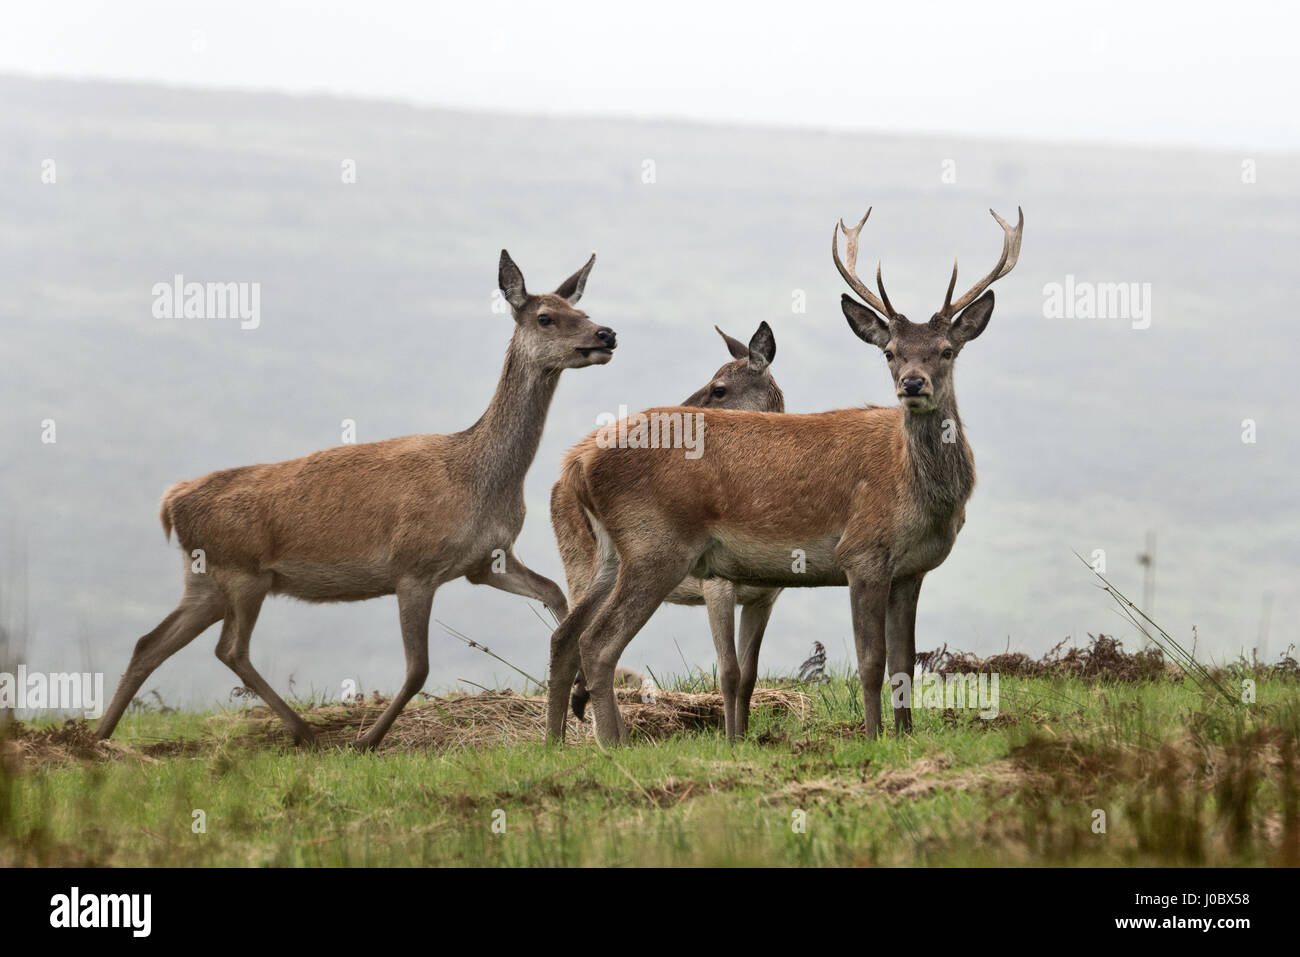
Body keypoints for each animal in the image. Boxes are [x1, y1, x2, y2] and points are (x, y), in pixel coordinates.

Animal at [96, 250, 616, 751]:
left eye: (583, 310)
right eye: (546, 317)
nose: (607, 333)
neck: (480, 480)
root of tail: (170, 504)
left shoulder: (486, 560)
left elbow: (554, 592)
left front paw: (579, 692)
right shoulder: (413, 567)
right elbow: (418, 669)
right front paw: (367, 740)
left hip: (206, 577)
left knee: (150, 643)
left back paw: (98, 738)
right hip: (244, 571)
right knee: (229, 649)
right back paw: (305, 732)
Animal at [553, 322, 785, 741]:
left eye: (719, 388)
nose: (682, 412)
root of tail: (570, 468)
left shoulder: (766, 597)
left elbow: (749, 676)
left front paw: (744, 737)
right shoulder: (716, 586)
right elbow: (729, 672)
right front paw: (731, 740)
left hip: (608, 565)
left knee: (565, 637)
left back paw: (556, 740)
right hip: (586, 560)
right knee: (586, 639)